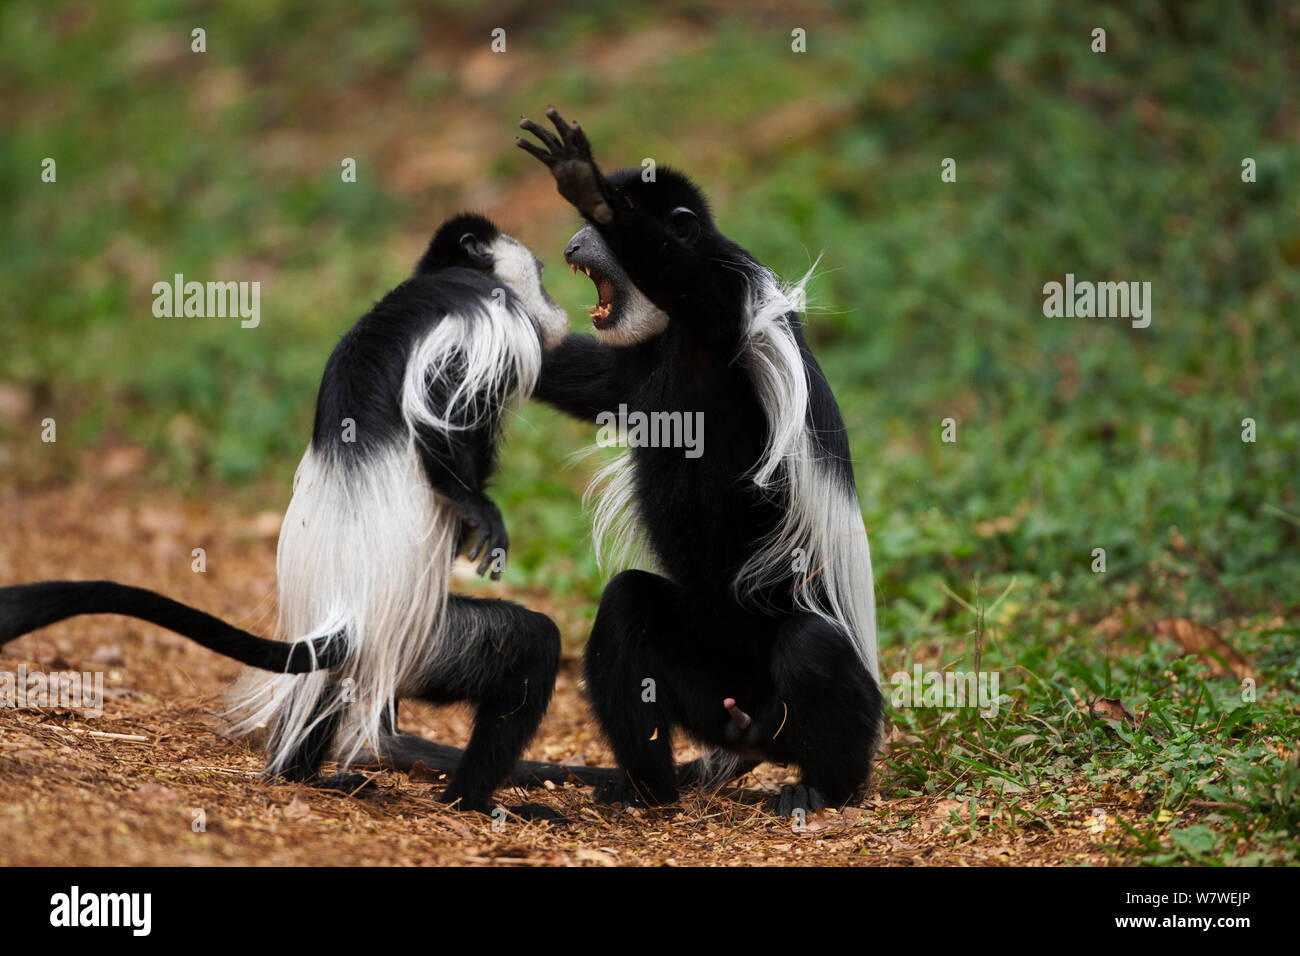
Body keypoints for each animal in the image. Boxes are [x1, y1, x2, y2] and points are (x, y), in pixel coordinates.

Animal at [0, 213, 579, 818]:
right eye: (539, 273)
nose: (555, 304)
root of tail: (345, 613)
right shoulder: (487, 320)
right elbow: (442, 425)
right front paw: (478, 510)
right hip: (423, 642)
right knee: (531, 647)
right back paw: (471, 801)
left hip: (375, 651)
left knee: (325, 688)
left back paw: (302, 775)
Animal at [511, 109, 884, 816]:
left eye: (619, 212)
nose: (575, 243)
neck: (675, 336)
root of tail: (751, 731)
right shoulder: (632, 366)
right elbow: (580, 377)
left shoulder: (725, 304)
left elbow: (680, 273)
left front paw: (587, 185)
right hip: (708, 682)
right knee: (627, 606)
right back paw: (644, 789)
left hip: (804, 685)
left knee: (812, 647)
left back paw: (821, 787)